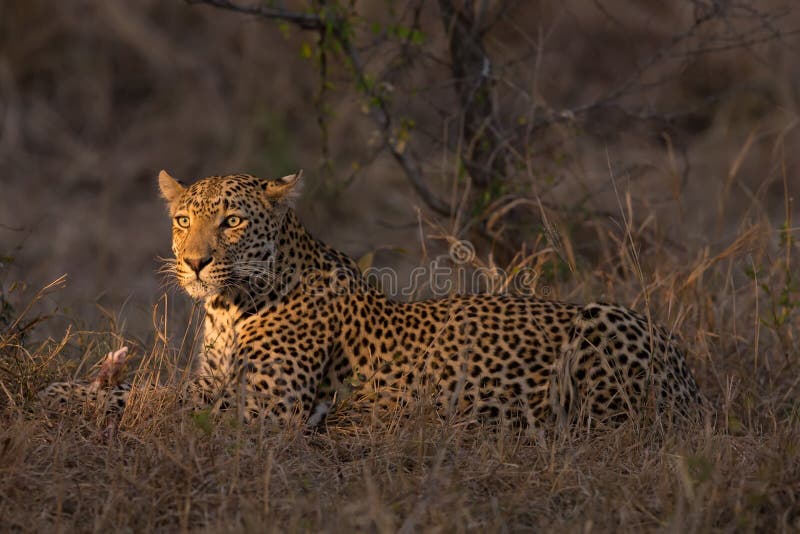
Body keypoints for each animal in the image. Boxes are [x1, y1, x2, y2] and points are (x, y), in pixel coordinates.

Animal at [40, 170, 706, 429]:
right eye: (182, 220)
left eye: (231, 221)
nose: (195, 262)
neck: (226, 309)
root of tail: (689, 375)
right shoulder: (212, 378)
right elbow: (157, 390)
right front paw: (81, 384)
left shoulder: (268, 407)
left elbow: (161, 405)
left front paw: (79, 398)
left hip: (600, 335)